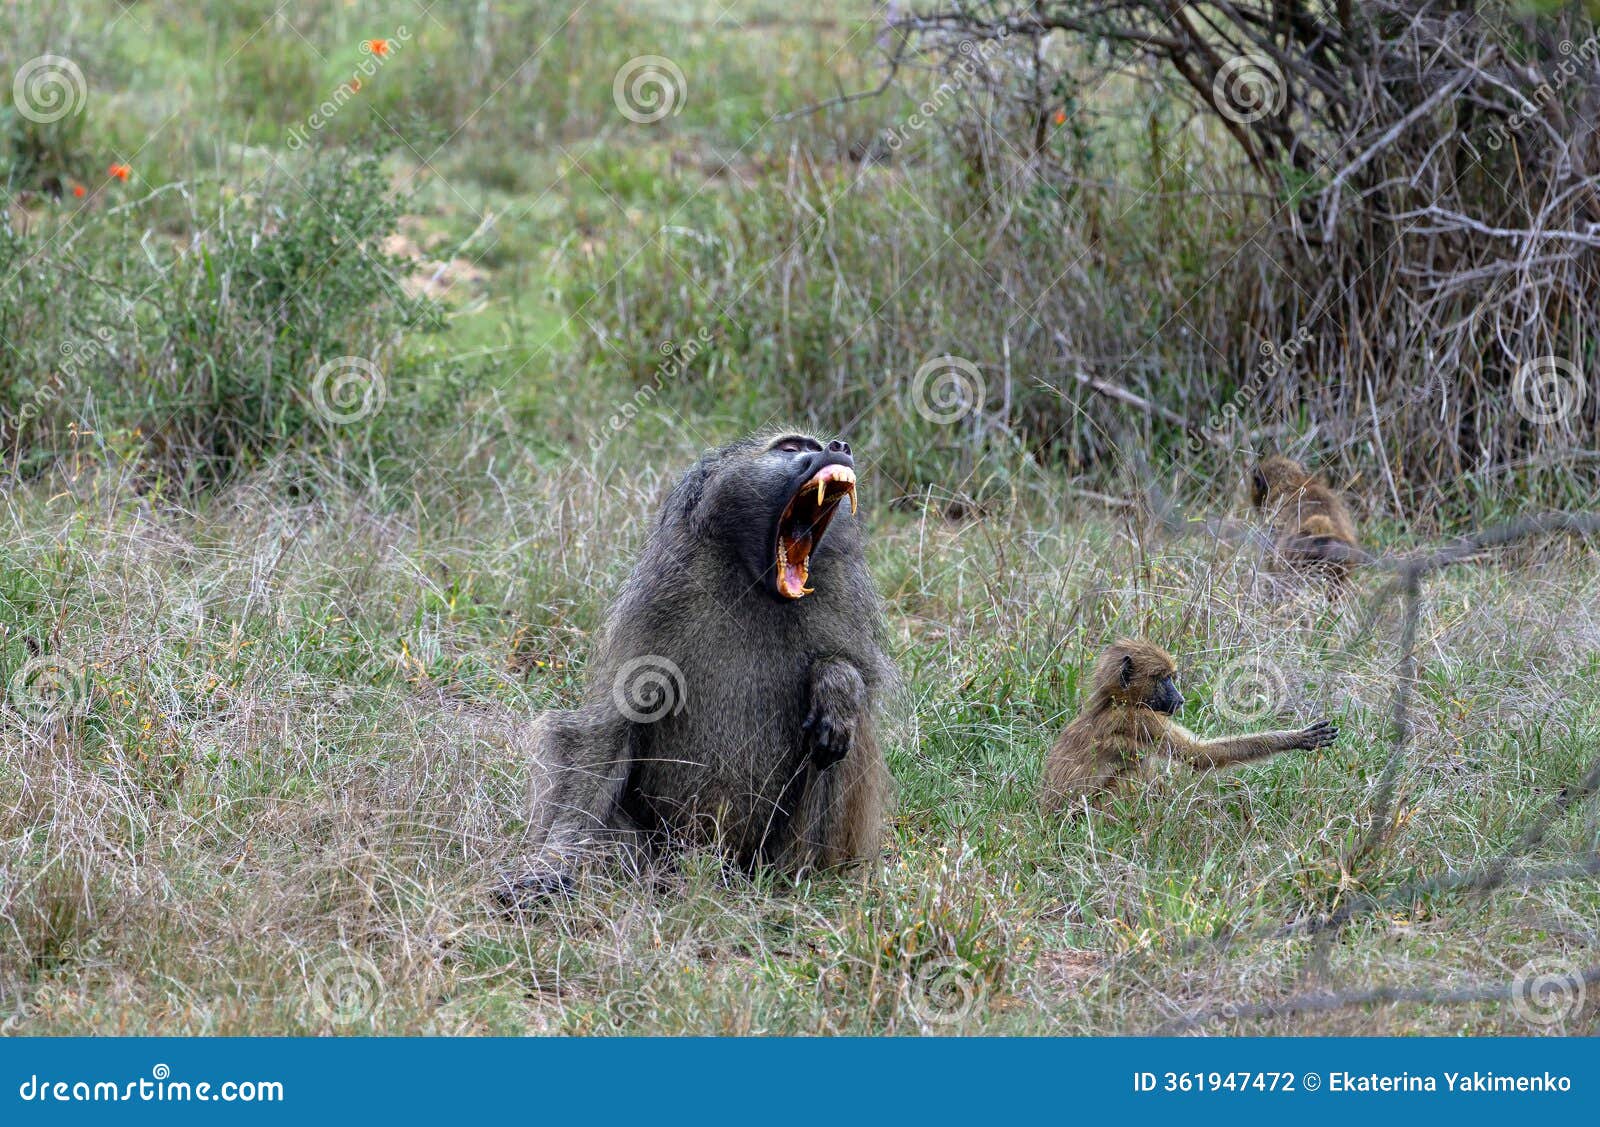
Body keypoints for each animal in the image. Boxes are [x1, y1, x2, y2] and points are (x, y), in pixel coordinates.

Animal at [499, 432, 894, 905]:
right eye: (791, 447)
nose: (840, 446)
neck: (753, 582)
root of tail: (722, 864)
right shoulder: (660, 601)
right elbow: (611, 727)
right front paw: (550, 864)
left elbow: (854, 681)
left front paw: (837, 686)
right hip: (656, 848)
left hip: (773, 856)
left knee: (841, 743)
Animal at [1039, 638, 1337, 815]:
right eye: (1163, 679)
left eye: (1172, 678)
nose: (1181, 699)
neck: (1114, 702)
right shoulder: (1144, 720)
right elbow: (1200, 755)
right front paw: (1296, 737)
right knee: (1136, 769)